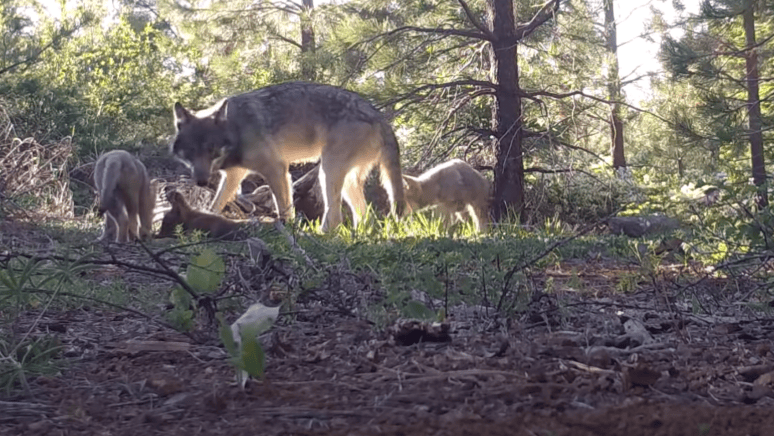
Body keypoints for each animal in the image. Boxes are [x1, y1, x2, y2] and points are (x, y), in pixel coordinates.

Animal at [170, 81, 405, 231]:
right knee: (365, 217)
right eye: (191, 152)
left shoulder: (277, 169)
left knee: (336, 218)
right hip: (345, 182)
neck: (236, 129)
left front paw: (287, 229)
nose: (201, 181)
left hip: (327, 172)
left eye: (211, 150)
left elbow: (284, 208)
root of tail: (380, 117)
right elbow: (216, 203)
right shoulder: (233, 176)